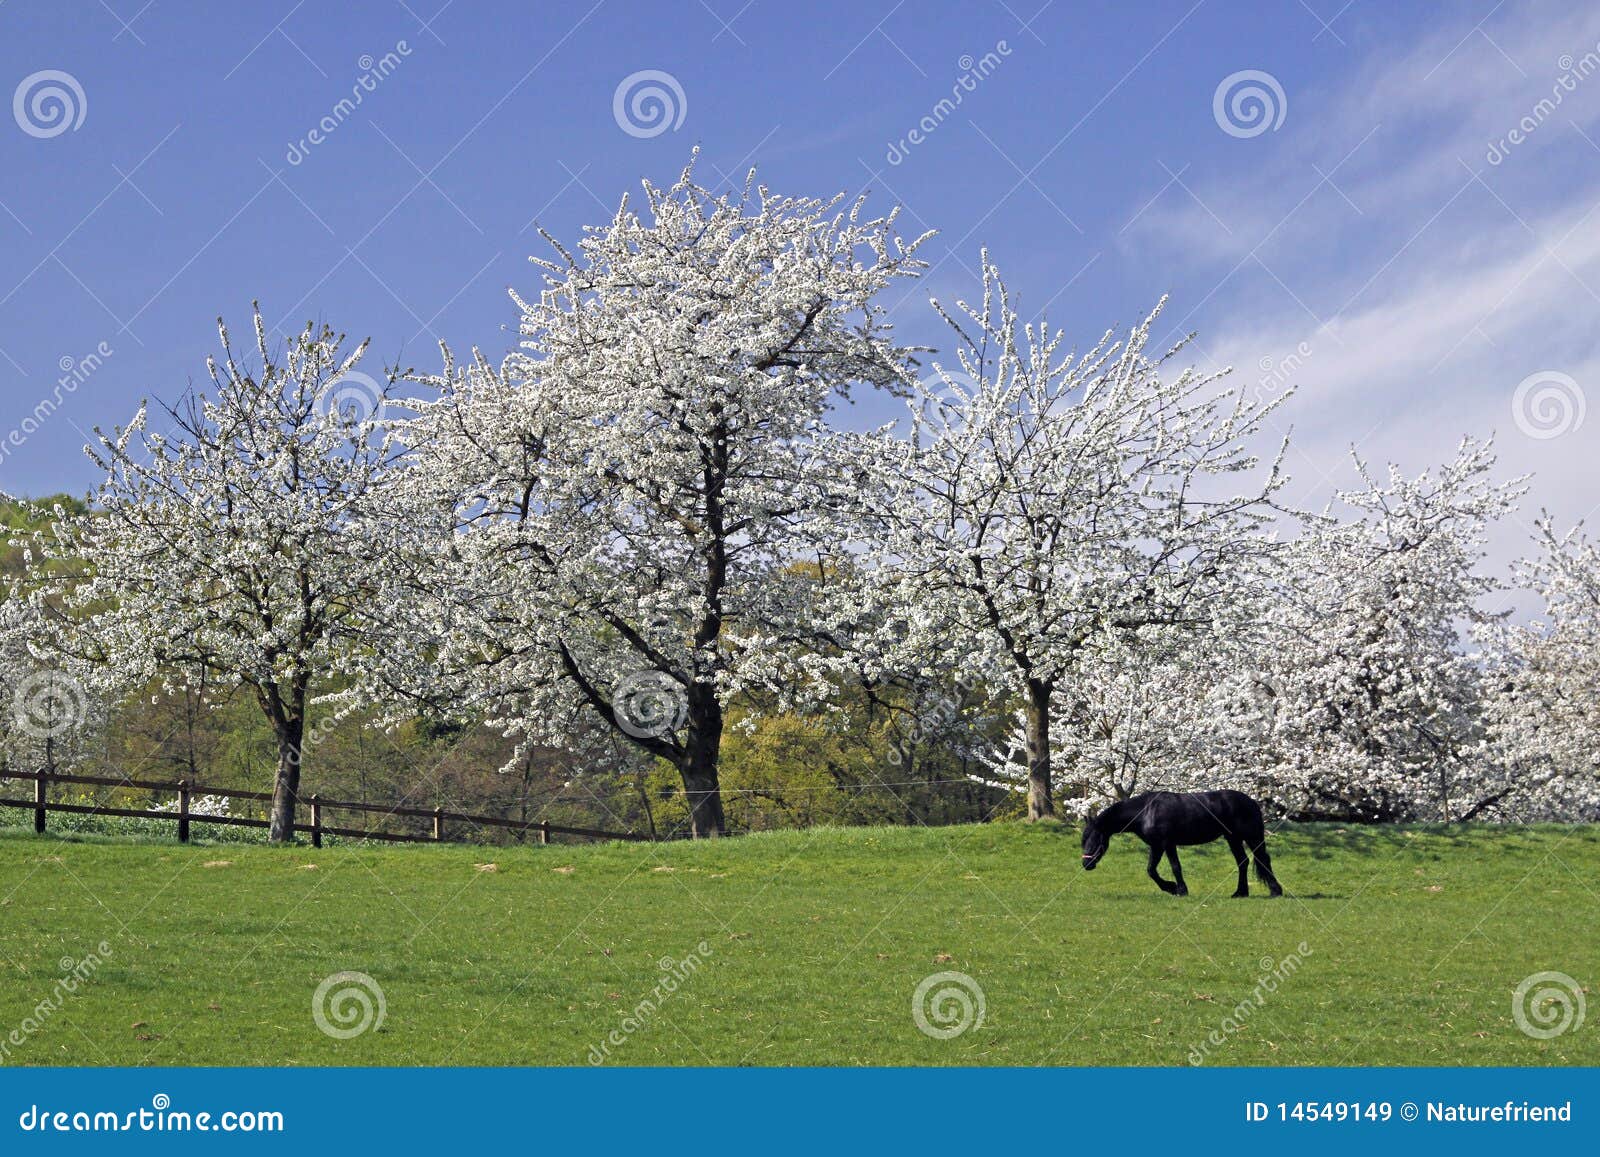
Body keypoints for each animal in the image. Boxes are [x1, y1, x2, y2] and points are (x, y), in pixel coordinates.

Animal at [1080, 790, 1283, 897]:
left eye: (1095, 838)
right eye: (1084, 839)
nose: (1086, 864)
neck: (1146, 811)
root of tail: (1253, 802)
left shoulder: (1167, 843)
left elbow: (1175, 867)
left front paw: (1180, 889)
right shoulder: (1156, 846)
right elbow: (1151, 870)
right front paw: (1170, 888)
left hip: (1252, 837)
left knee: (1263, 860)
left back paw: (1275, 891)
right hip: (1233, 838)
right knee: (1243, 862)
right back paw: (1240, 893)